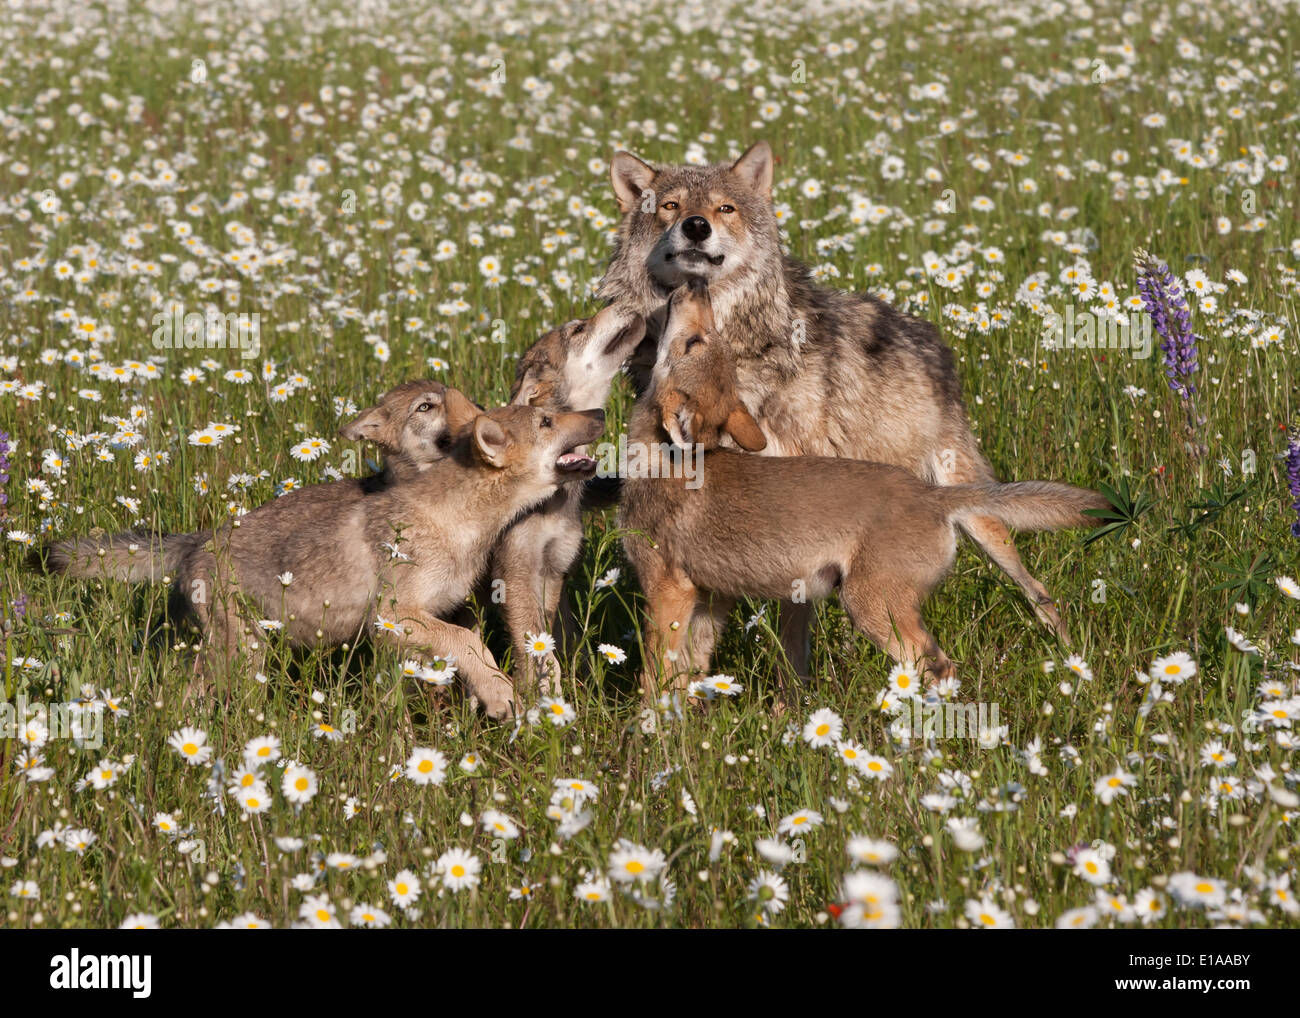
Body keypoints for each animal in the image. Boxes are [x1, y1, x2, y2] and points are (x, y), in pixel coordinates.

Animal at [39, 396, 605, 718]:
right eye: (547, 420)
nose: (601, 413)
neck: (456, 519)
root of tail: (199, 540)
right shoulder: (393, 617)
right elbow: (471, 644)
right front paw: (500, 695)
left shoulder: (415, 627)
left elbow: (458, 653)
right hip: (240, 660)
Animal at [598, 140, 1076, 678]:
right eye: (671, 206)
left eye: (725, 208)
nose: (697, 226)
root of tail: (933, 336)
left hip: (975, 517)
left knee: (1037, 591)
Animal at [620, 281, 1105, 697]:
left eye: (696, 341)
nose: (696, 285)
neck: (662, 461)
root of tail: (932, 496)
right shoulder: (709, 599)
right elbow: (688, 677)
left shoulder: (669, 590)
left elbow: (654, 680)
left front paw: (650, 737)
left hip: (869, 606)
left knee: (939, 665)